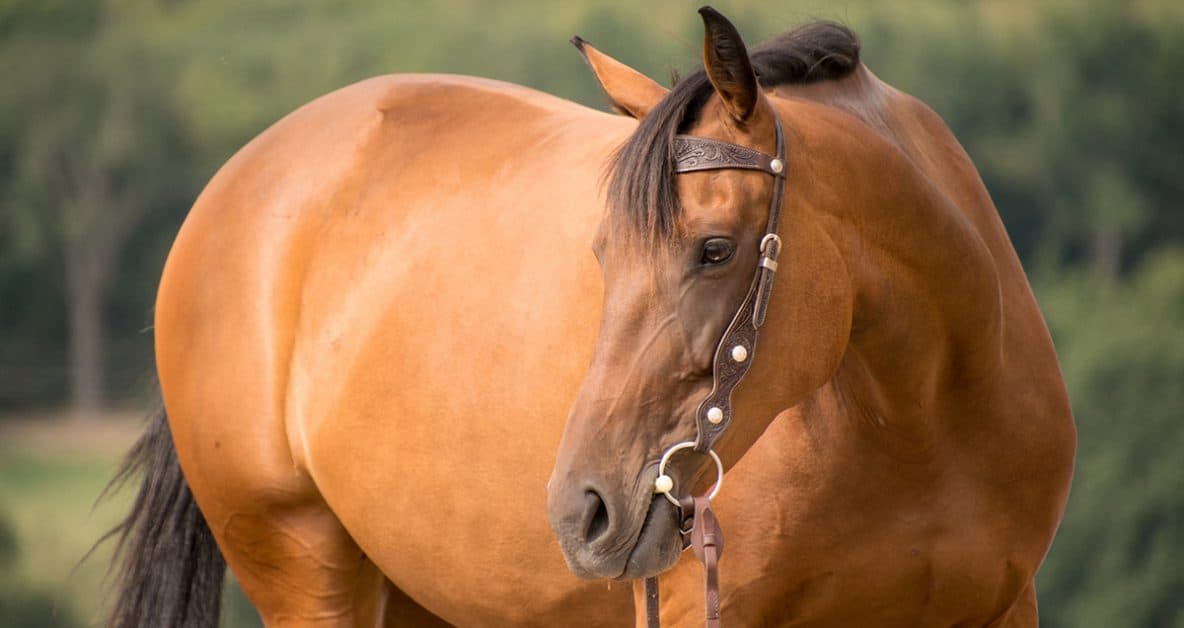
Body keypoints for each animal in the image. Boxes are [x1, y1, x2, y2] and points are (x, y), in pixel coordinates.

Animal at [105, 6, 1075, 627]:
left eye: (715, 250)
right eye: (603, 253)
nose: (584, 510)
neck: (921, 424)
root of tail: (235, 184)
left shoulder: (1003, 608)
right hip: (305, 568)